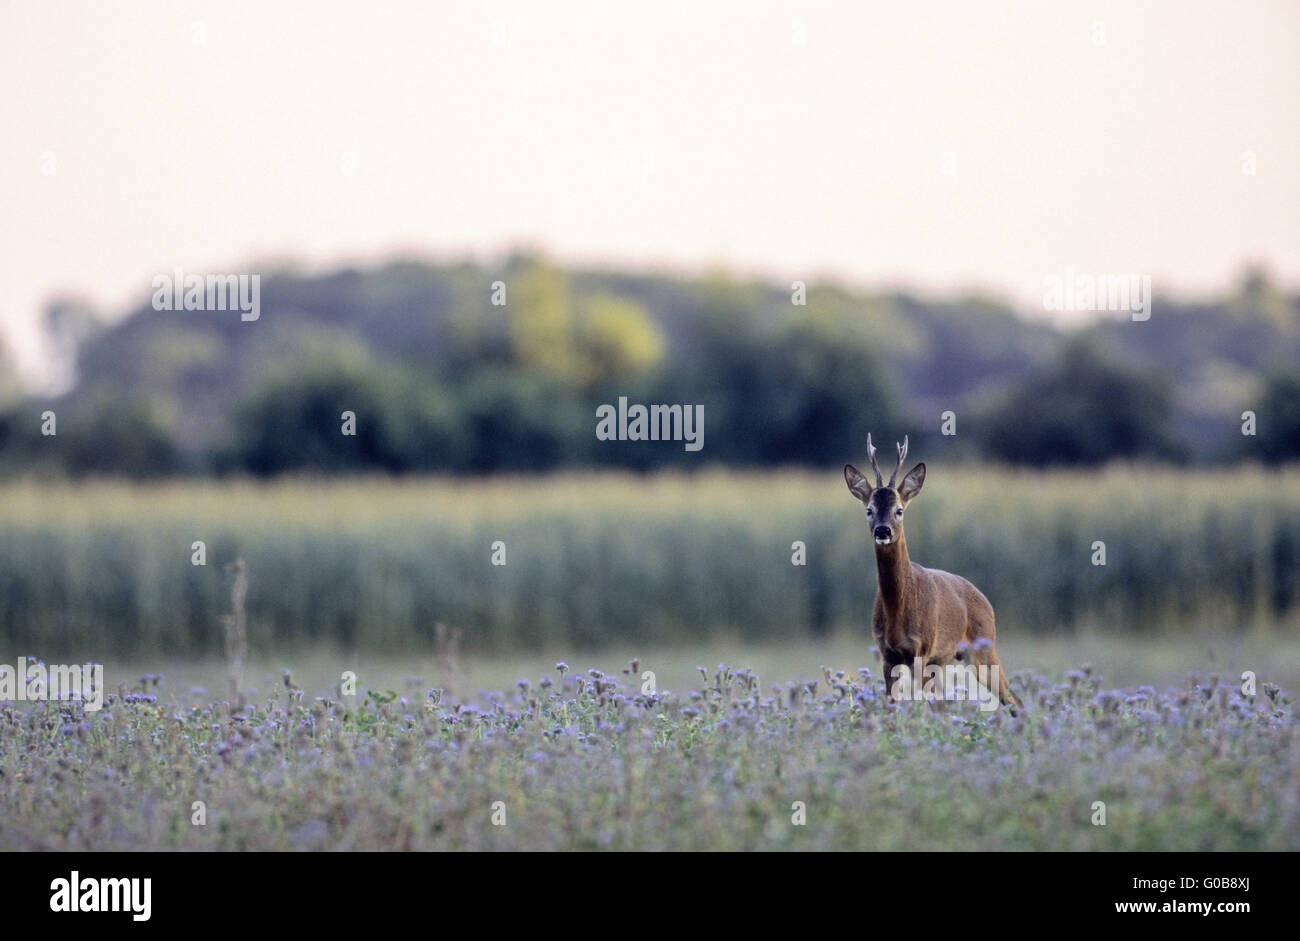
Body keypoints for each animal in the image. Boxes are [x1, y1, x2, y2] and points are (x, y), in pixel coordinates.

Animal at [844, 434, 1024, 712]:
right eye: (869, 510)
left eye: (899, 510)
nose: (883, 531)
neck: (897, 611)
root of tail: (986, 601)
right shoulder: (887, 654)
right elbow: (892, 706)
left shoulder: (922, 648)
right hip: (944, 660)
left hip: (983, 647)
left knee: (1013, 698)